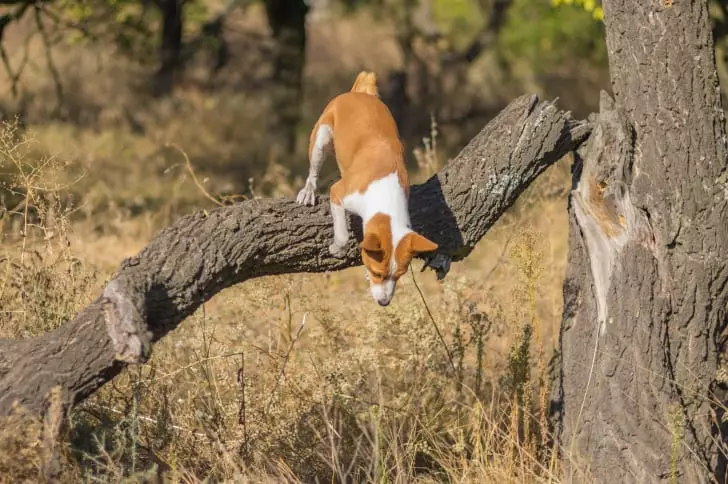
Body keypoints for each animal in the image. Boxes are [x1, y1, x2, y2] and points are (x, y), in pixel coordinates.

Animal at [296, 71, 438, 306]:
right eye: (377, 273)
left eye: (399, 275)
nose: (384, 303)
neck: (385, 194)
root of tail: (359, 93)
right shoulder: (338, 193)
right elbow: (343, 236)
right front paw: (336, 248)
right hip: (321, 136)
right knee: (313, 168)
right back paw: (308, 191)